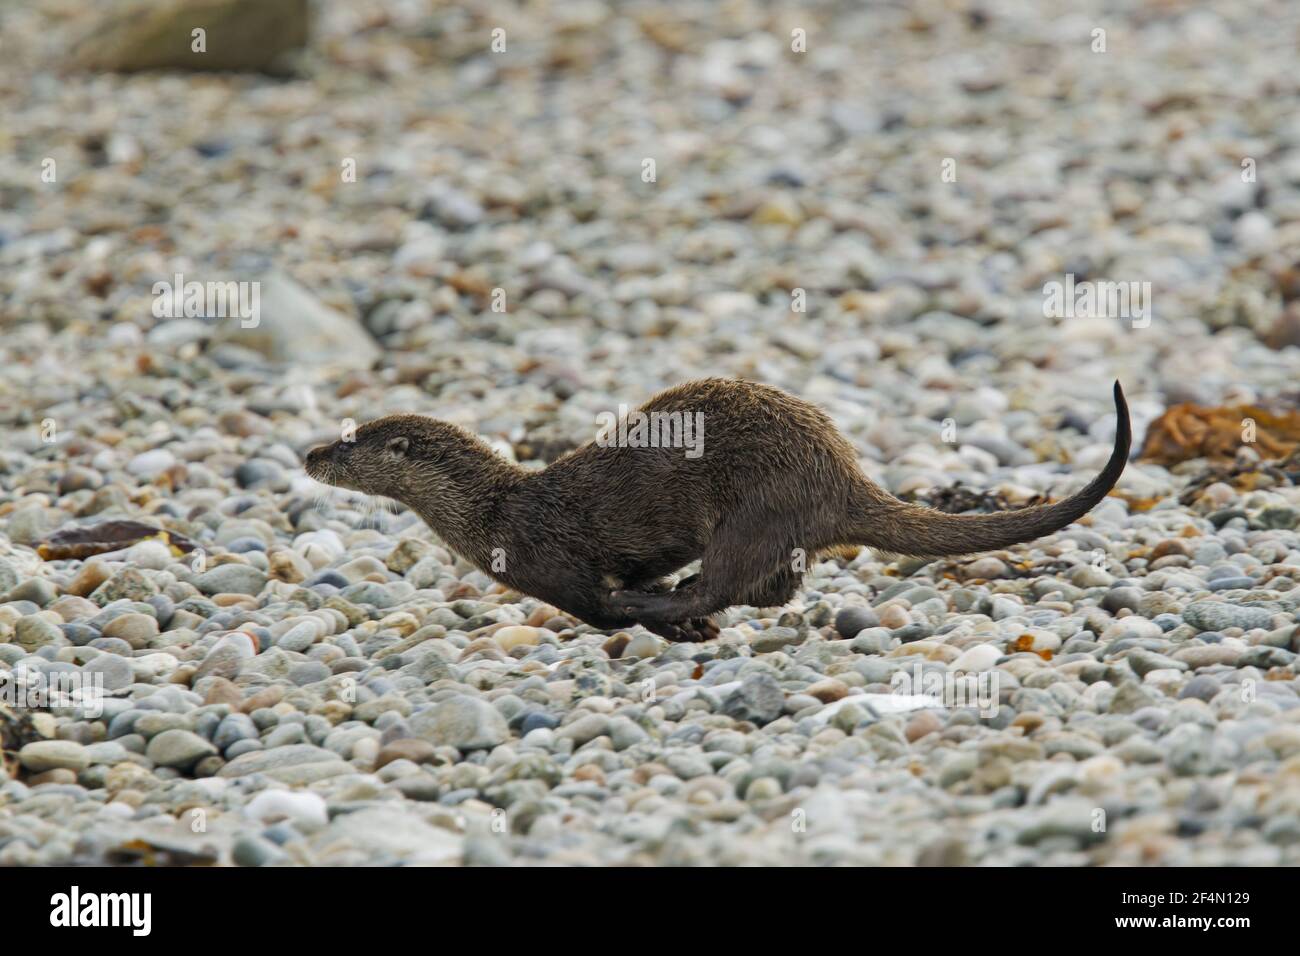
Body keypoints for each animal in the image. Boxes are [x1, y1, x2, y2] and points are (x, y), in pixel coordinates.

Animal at [305, 378, 1130, 643]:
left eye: (347, 443)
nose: (309, 453)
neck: (495, 514)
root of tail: (841, 472)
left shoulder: (550, 565)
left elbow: (595, 604)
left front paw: (651, 616)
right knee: (777, 587)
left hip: (754, 508)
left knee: (725, 579)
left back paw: (666, 604)